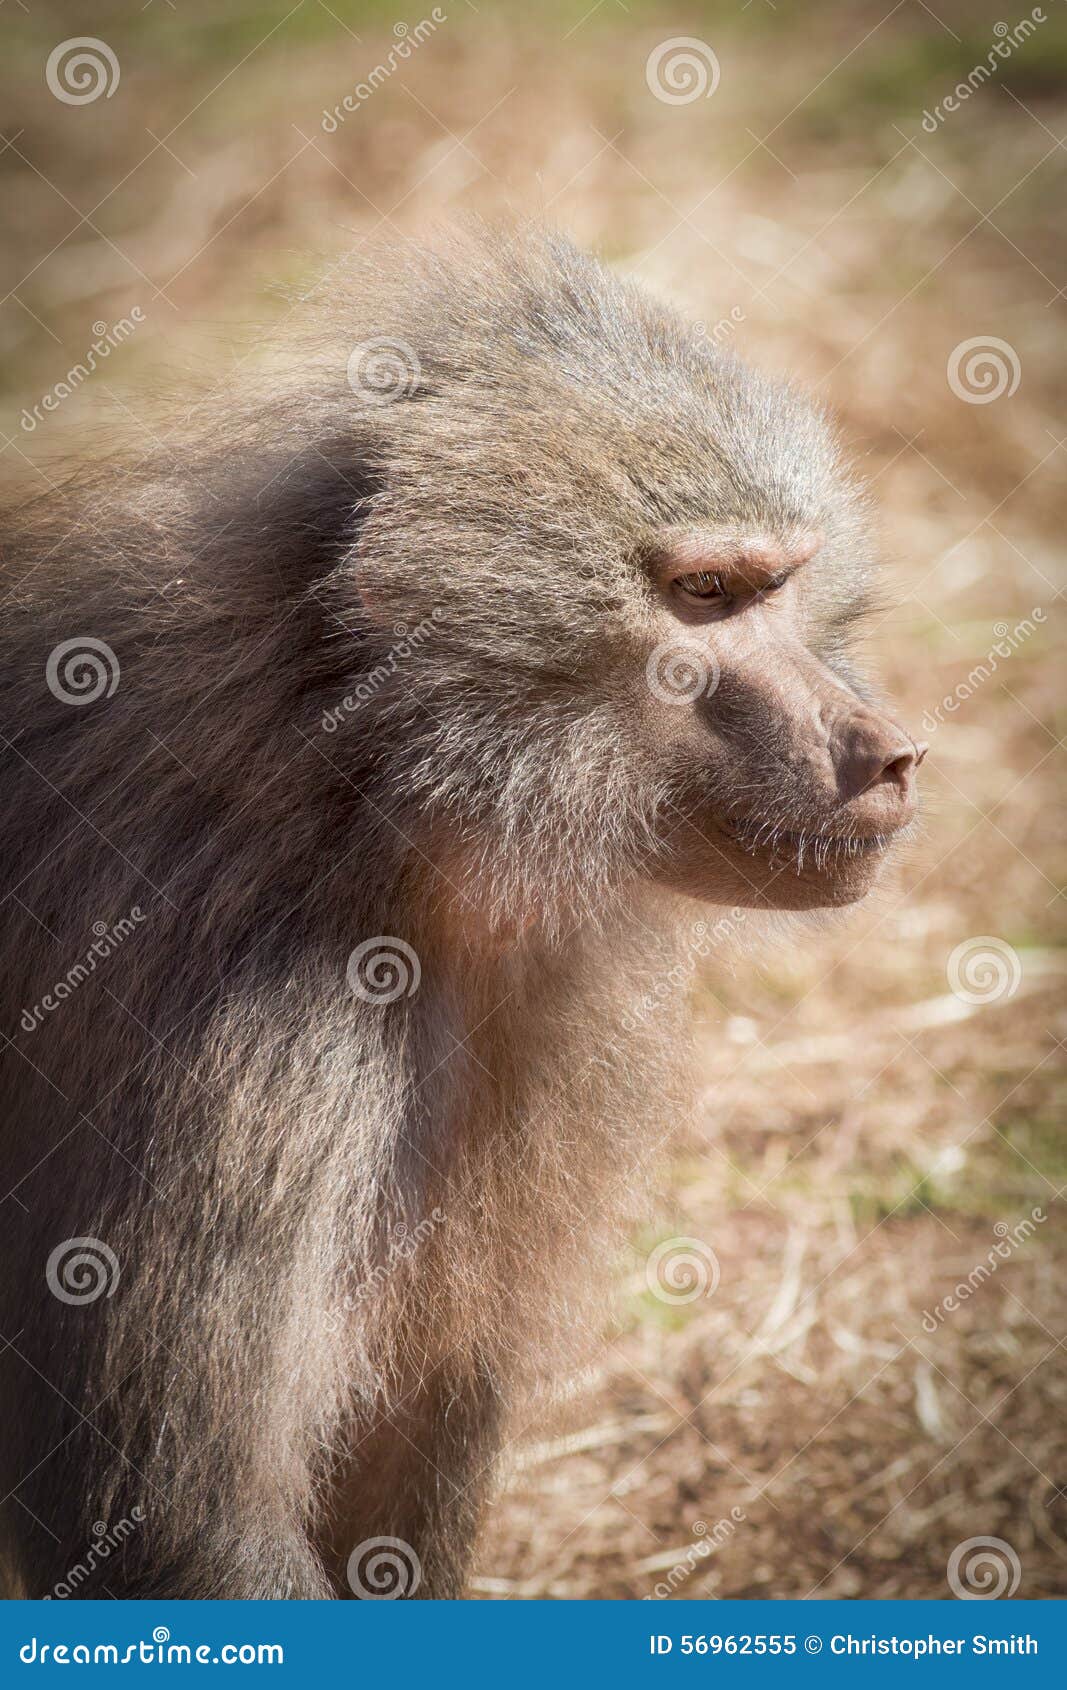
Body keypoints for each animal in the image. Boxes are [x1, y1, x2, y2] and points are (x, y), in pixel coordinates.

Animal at [0, 226, 925, 1600]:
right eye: (703, 592)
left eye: (777, 587)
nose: (883, 752)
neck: (364, 797)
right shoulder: (239, 1037)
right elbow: (175, 1520)